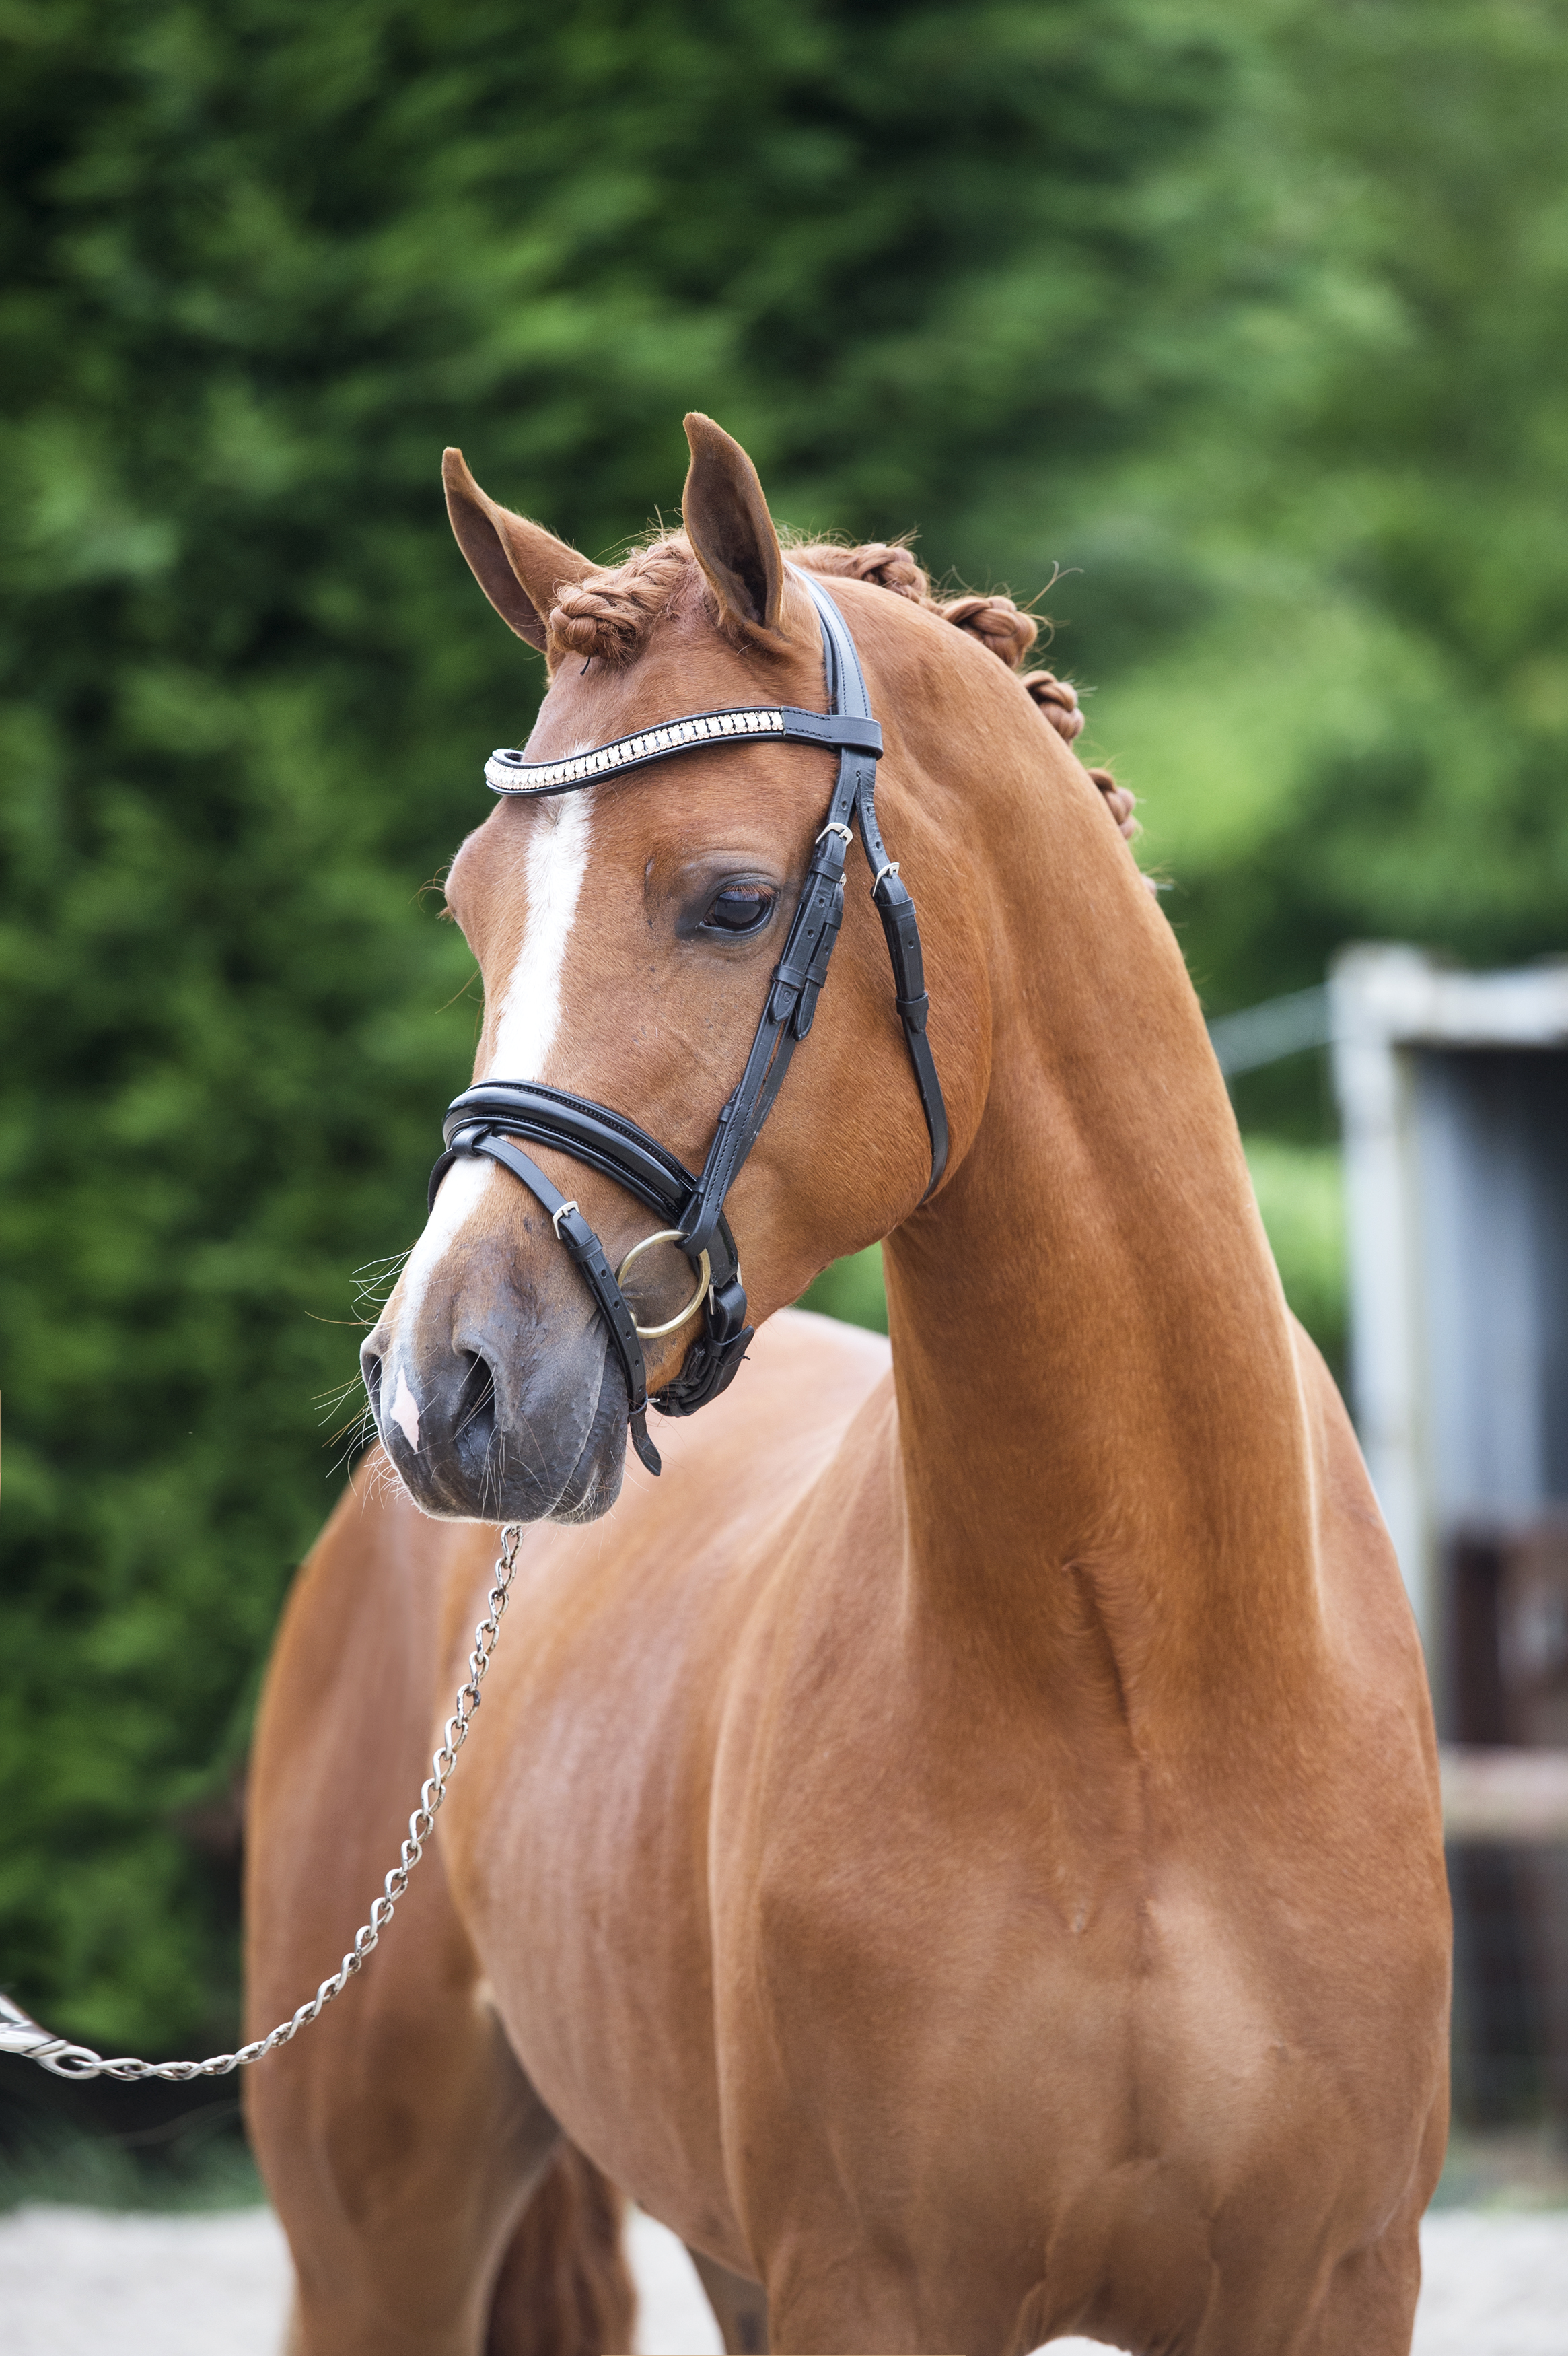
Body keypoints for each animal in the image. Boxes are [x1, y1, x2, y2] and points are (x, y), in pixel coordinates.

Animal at [243, 414, 1450, 2355]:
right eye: (473, 911)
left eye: (732, 901)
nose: (448, 1386)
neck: (1142, 1685)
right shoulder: (869, 2290)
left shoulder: (1331, 2290)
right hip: (380, 2245)